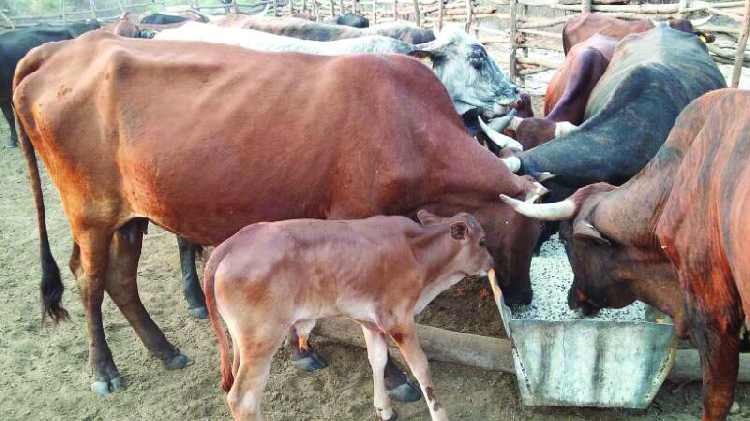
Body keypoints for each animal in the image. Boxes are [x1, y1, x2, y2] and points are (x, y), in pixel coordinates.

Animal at [205, 212, 494, 420]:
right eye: (482, 241)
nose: (492, 264)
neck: (418, 255)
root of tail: (231, 243)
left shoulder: (371, 321)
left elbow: (377, 360)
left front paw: (384, 409)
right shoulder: (399, 319)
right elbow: (422, 369)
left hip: (242, 340)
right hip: (262, 338)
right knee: (243, 399)